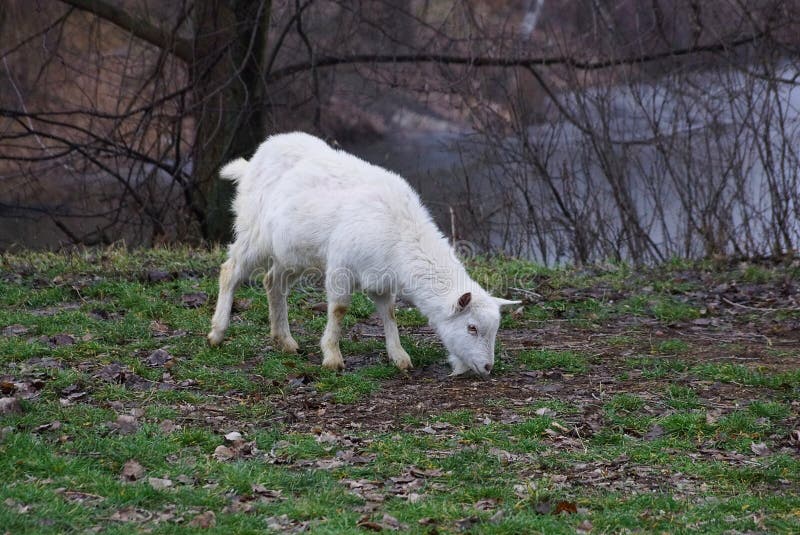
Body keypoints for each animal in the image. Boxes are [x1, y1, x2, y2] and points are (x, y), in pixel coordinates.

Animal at [207, 132, 519, 377]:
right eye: (471, 328)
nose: (488, 368)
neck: (402, 231)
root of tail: (254, 159)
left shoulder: (381, 278)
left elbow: (389, 313)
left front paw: (399, 356)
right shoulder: (341, 265)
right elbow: (339, 309)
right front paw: (332, 357)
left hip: (292, 252)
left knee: (273, 282)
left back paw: (285, 341)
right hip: (254, 232)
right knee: (230, 270)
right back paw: (217, 333)